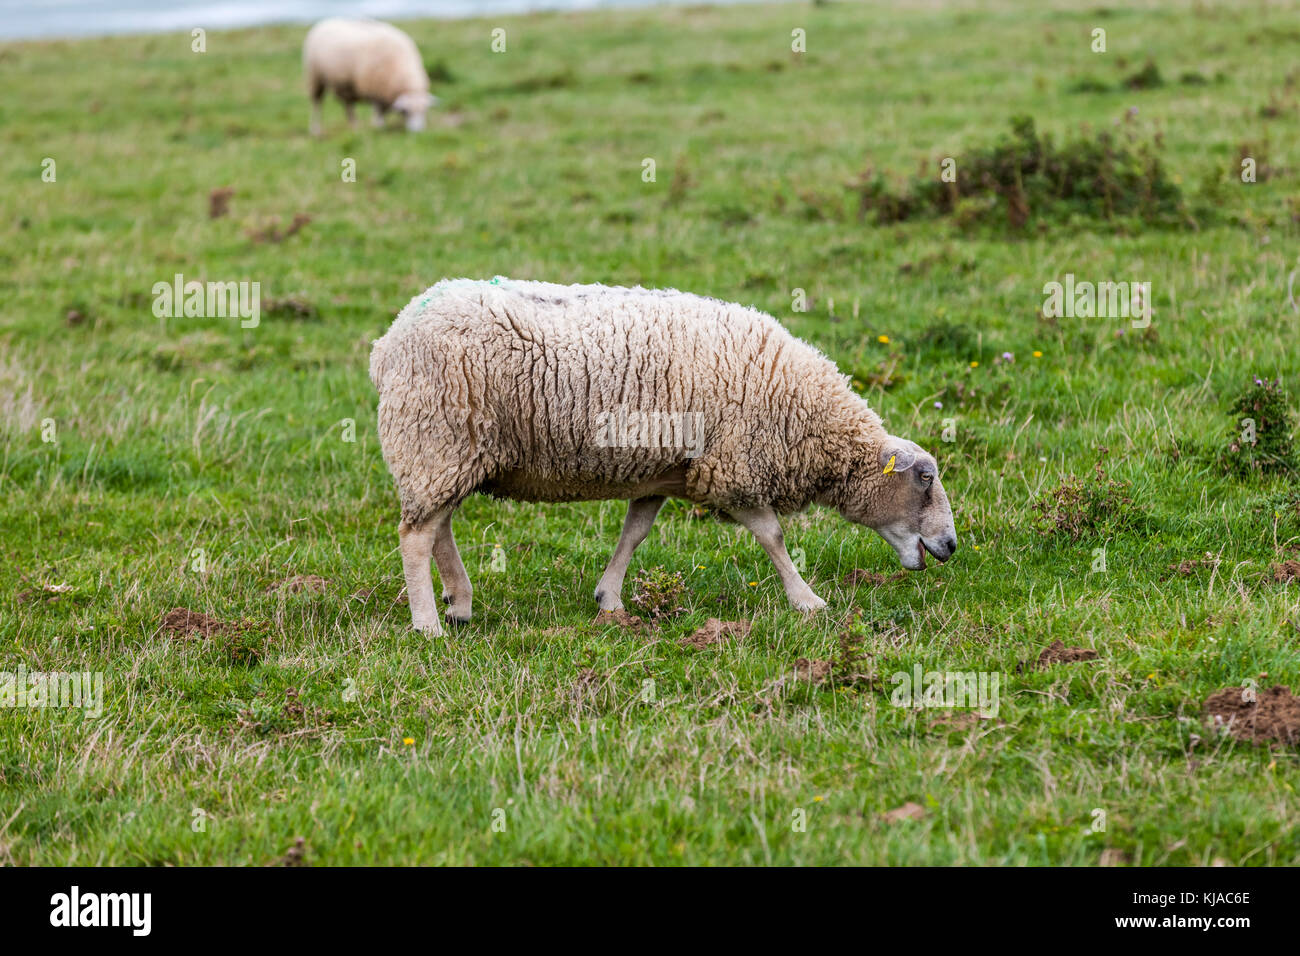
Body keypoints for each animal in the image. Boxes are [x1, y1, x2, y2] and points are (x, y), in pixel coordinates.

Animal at [303, 18, 438, 136]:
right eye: (406, 111)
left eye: (425, 110)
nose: (418, 132)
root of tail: (324, 21)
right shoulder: (374, 86)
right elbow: (378, 110)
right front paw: (379, 126)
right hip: (315, 77)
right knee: (317, 103)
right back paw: (315, 129)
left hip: (344, 84)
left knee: (348, 105)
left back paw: (354, 126)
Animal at [370, 278, 958, 635]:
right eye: (925, 478)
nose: (952, 546)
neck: (805, 416)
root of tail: (389, 341)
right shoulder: (732, 466)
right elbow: (772, 536)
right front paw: (807, 601)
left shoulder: (662, 472)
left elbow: (635, 533)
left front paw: (609, 599)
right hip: (435, 437)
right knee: (416, 536)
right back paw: (428, 623)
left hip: (448, 453)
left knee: (438, 526)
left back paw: (460, 603)